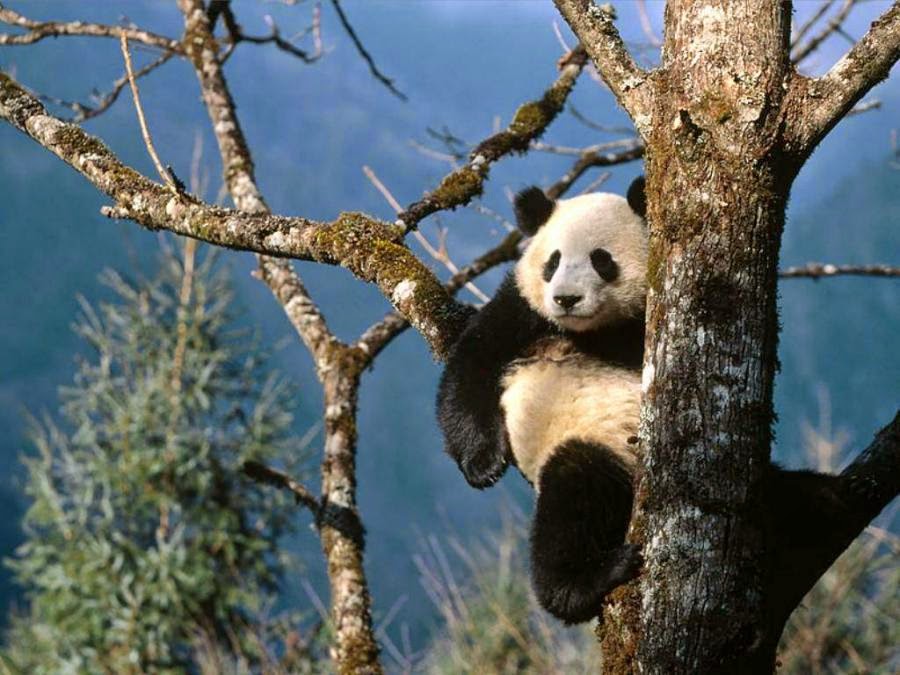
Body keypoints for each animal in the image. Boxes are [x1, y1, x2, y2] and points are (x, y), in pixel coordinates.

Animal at [436, 177, 649, 624]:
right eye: (553, 262)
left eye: (601, 260)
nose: (566, 299)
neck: (591, 331)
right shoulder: (522, 309)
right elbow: (470, 368)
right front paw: (483, 465)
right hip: (595, 446)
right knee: (576, 496)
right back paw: (586, 581)